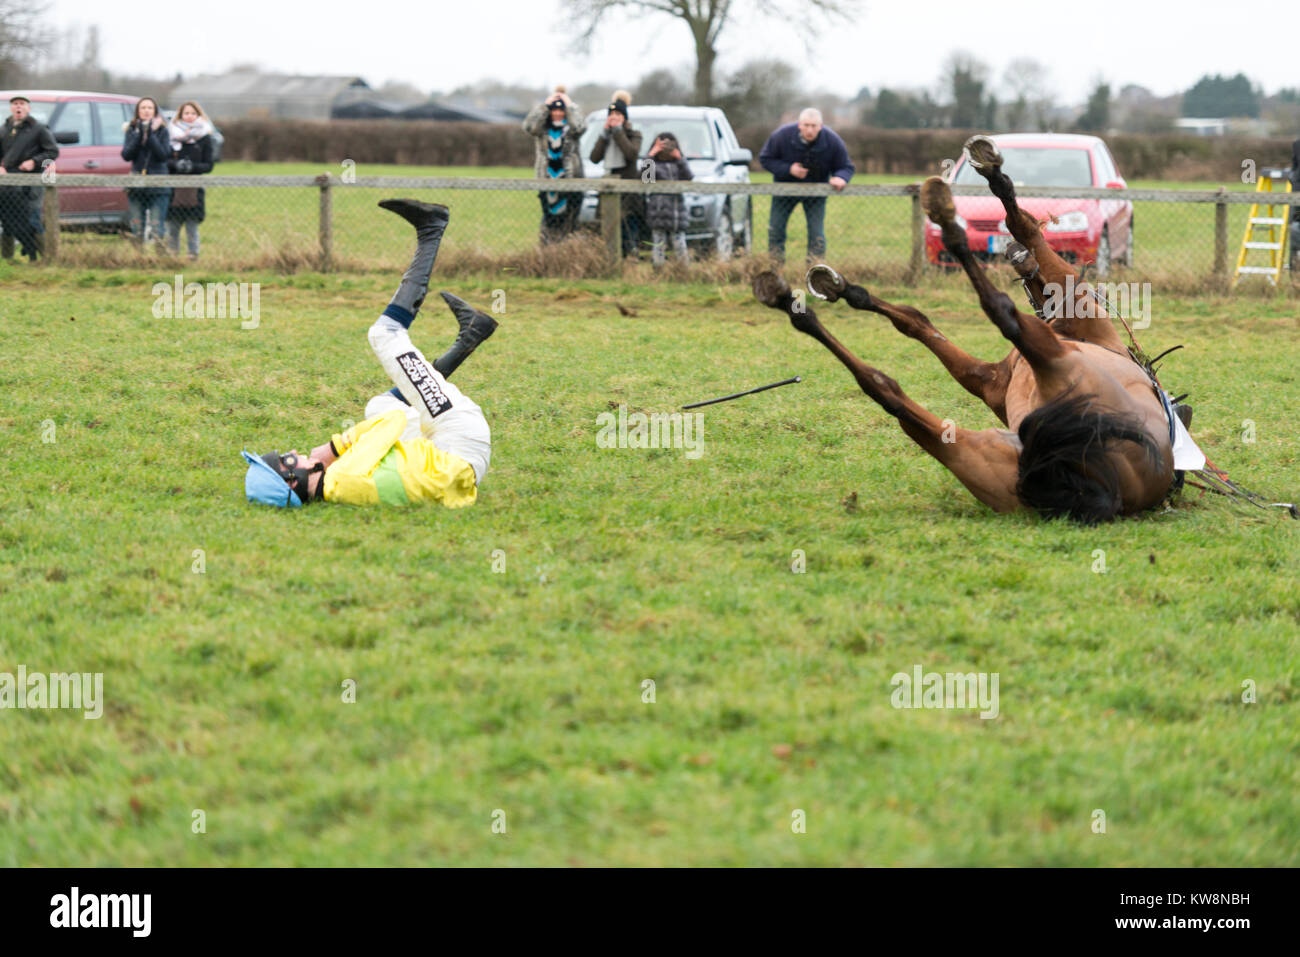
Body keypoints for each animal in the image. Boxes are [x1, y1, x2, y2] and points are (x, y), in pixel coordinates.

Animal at [753, 135, 1179, 524]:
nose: (1019, 263)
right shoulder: (991, 379)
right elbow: (916, 321)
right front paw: (842, 289)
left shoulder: (1004, 367)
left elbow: (1022, 227)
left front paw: (993, 174)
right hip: (978, 447)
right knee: (892, 392)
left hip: (1046, 376)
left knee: (988, 322)